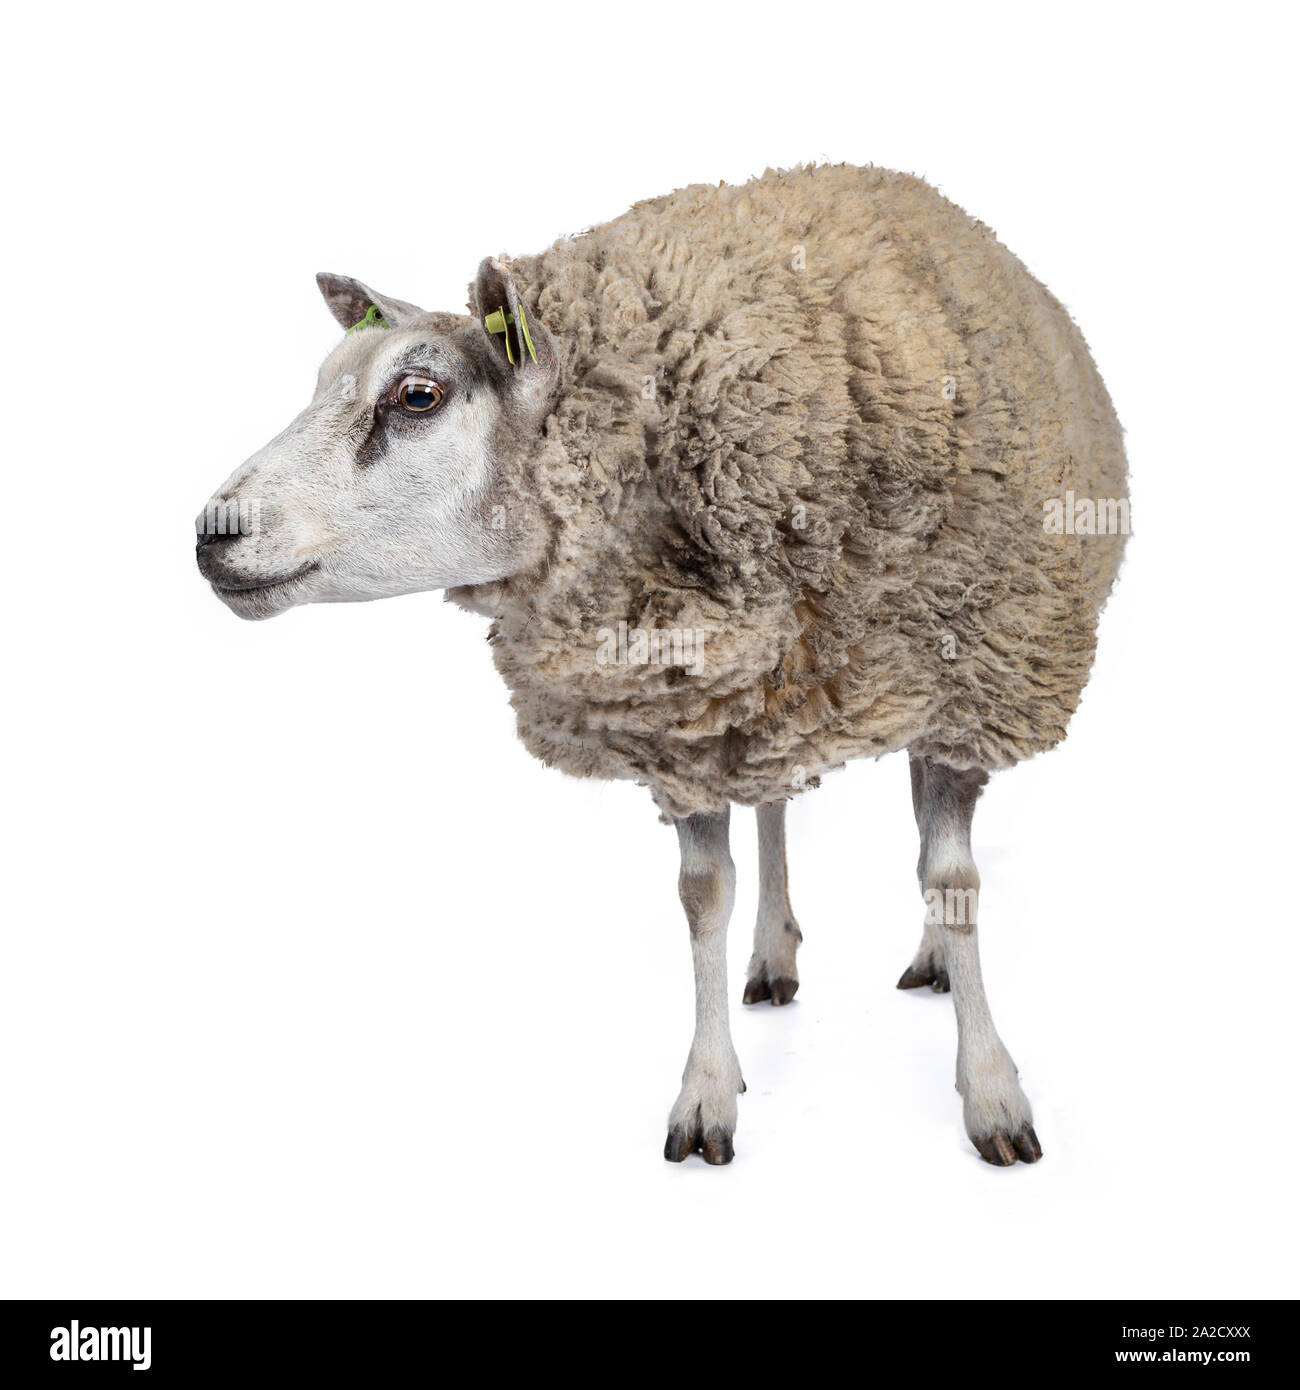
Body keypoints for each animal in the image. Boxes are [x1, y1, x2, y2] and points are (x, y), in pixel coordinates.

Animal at [196, 164, 1128, 1167]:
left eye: (416, 395)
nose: (213, 533)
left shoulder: (969, 681)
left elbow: (953, 882)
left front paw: (993, 1092)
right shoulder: (682, 713)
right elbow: (702, 895)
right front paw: (707, 1092)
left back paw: (929, 962)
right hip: (758, 693)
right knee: (774, 807)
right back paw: (774, 954)